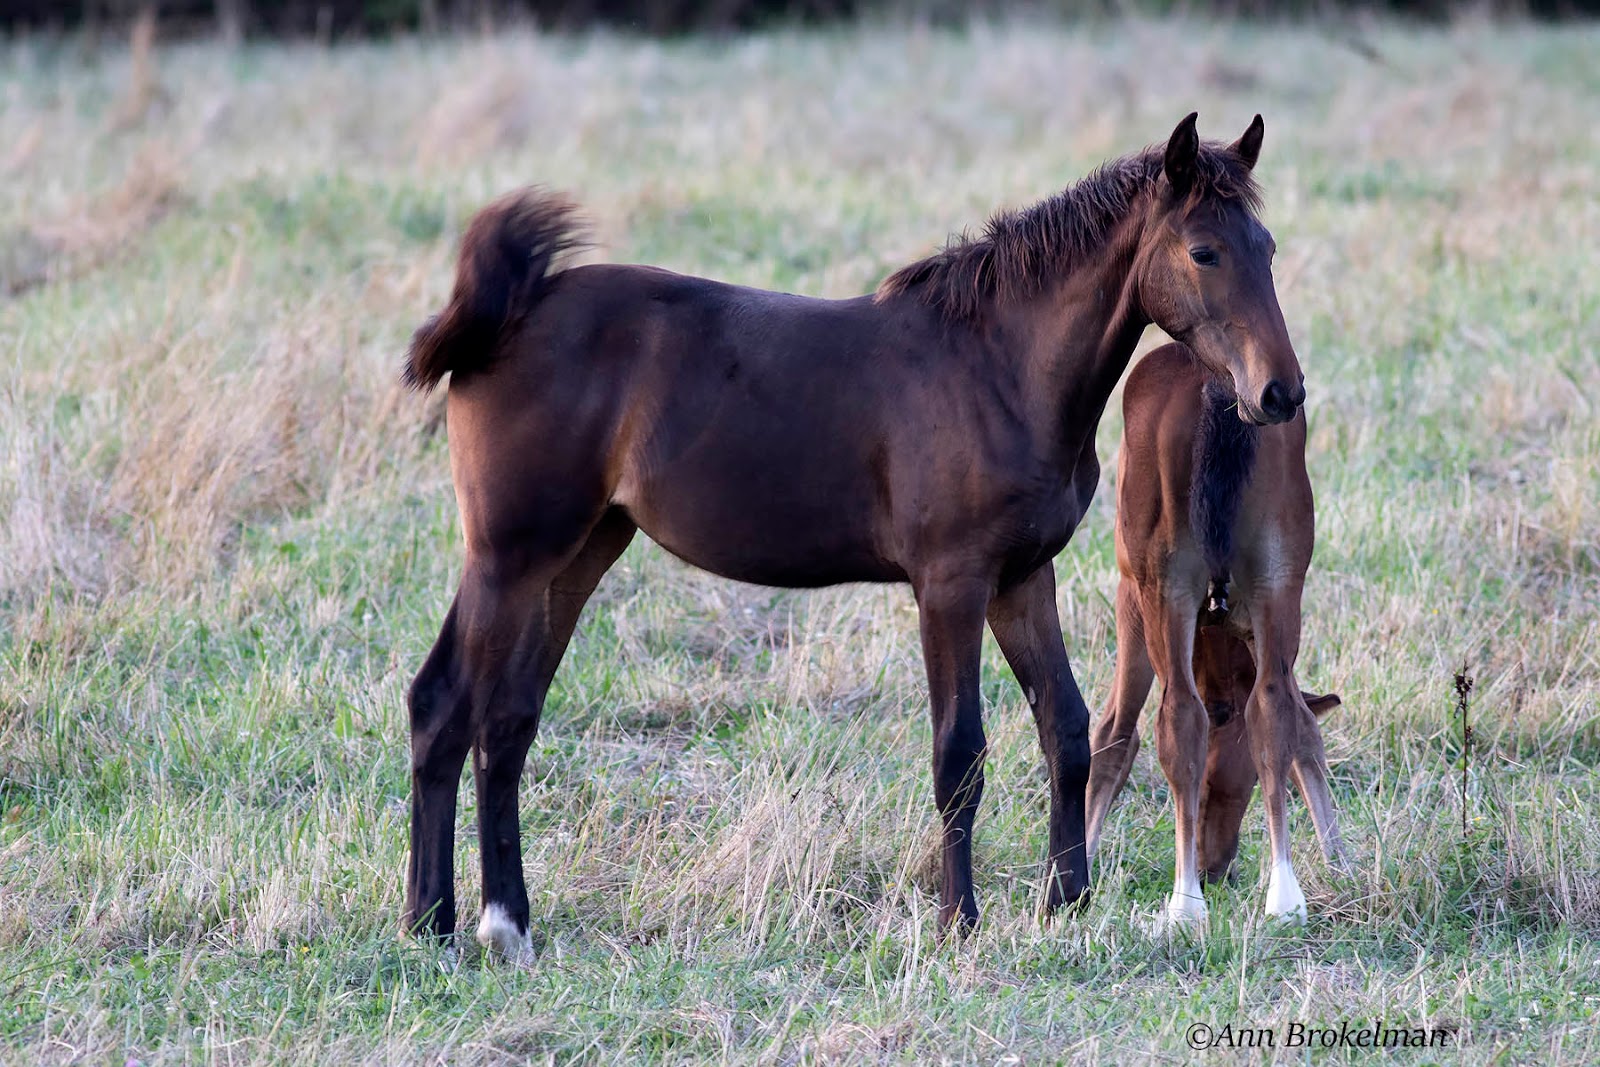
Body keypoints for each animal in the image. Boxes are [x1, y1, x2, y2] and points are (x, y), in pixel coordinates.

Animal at [400, 113, 1305, 960]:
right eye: (1202, 251)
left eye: (1265, 246)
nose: (1281, 392)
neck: (997, 367)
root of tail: (503, 318)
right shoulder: (950, 582)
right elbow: (959, 753)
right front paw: (958, 919)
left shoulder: (1022, 578)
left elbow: (1068, 727)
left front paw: (1067, 903)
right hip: (508, 556)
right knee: (443, 703)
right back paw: (431, 921)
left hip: (578, 553)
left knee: (507, 721)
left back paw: (507, 923)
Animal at [1083, 342, 1348, 927]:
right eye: (1244, 781)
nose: (1215, 870)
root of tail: (1216, 389)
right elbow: (1304, 729)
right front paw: (1345, 868)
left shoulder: (1129, 598)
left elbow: (1114, 732)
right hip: (1279, 582)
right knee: (1273, 706)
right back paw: (1282, 896)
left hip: (1165, 587)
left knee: (1179, 713)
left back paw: (1184, 904)